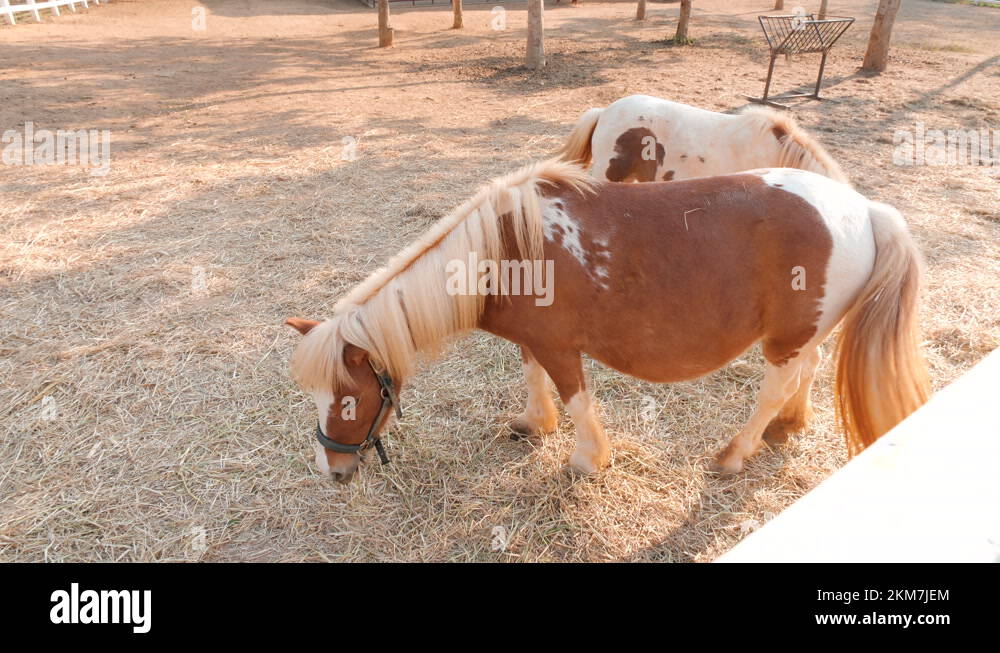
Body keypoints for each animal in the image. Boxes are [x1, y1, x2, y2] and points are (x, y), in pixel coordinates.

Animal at [285, 159, 928, 484]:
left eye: (351, 400)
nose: (331, 470)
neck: (504, 251)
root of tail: (864, 209)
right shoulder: (533, 341)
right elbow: (533, 378)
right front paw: (534, 424)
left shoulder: (560, 348)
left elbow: (577, 400)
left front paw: (586, 458)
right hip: (802, 332)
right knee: (809, 368)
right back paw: (790, 424)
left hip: (782, 342)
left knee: (773, 388)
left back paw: (736, 452)